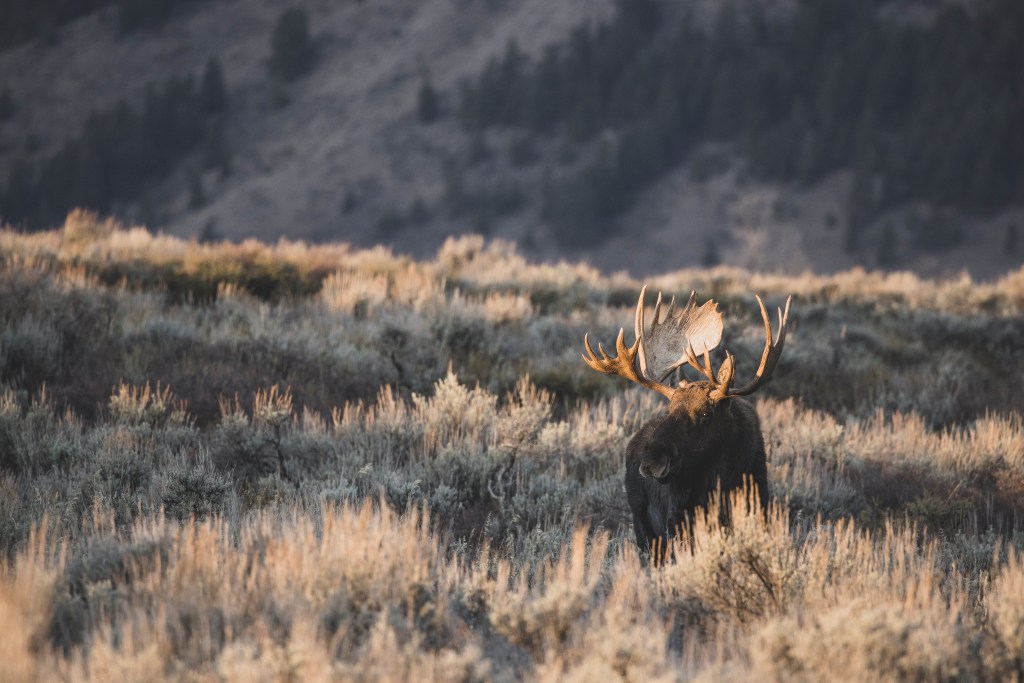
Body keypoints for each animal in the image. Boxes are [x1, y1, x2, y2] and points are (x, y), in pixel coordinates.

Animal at [583, 286, 791, 562]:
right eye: (669, 409)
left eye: (704, 413)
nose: (651, 461)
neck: (721, 480)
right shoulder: (676, 521)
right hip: (642, 525)